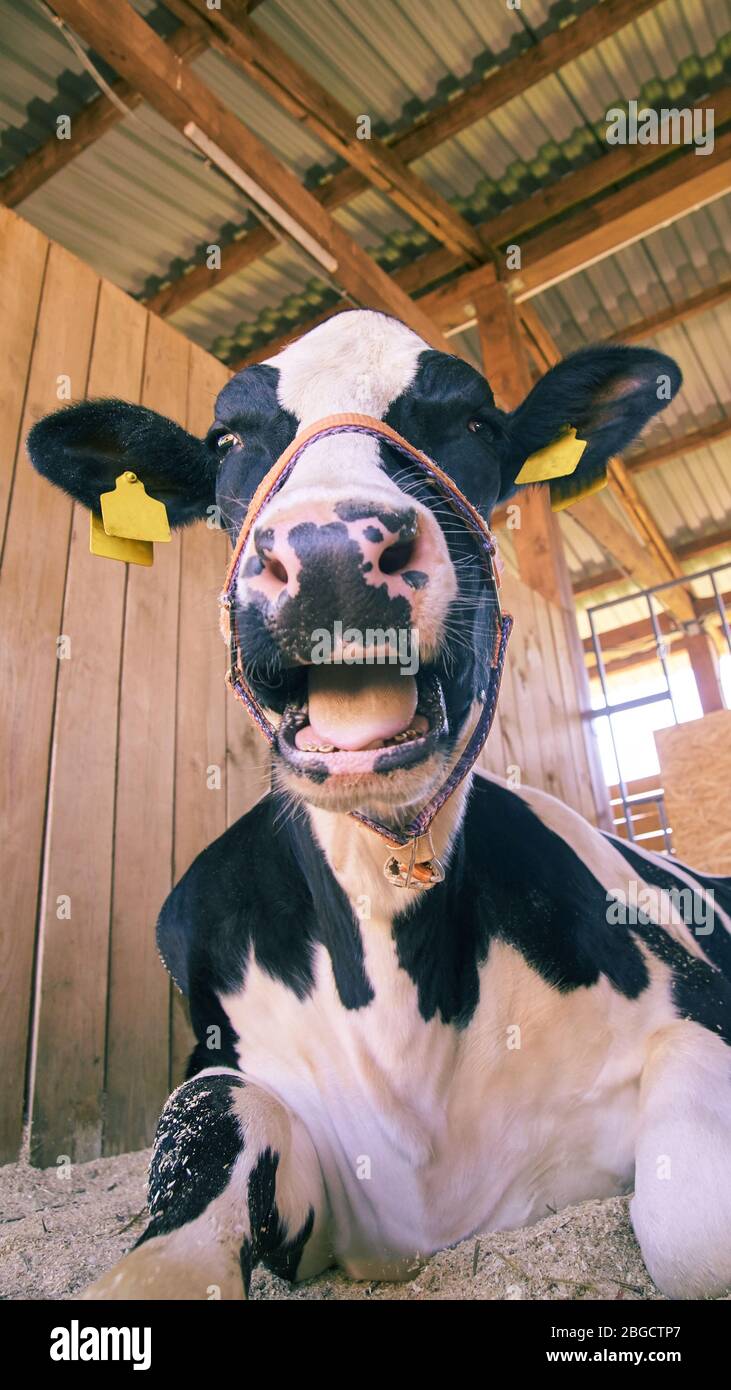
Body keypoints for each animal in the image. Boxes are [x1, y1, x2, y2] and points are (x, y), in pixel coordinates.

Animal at [28, 309, 731, 1301]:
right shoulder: (221, 1064)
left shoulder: (697, 1011)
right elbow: (170, 1223)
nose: (328, 555)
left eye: (476, 422)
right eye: (227, 440)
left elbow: (696, 1232)